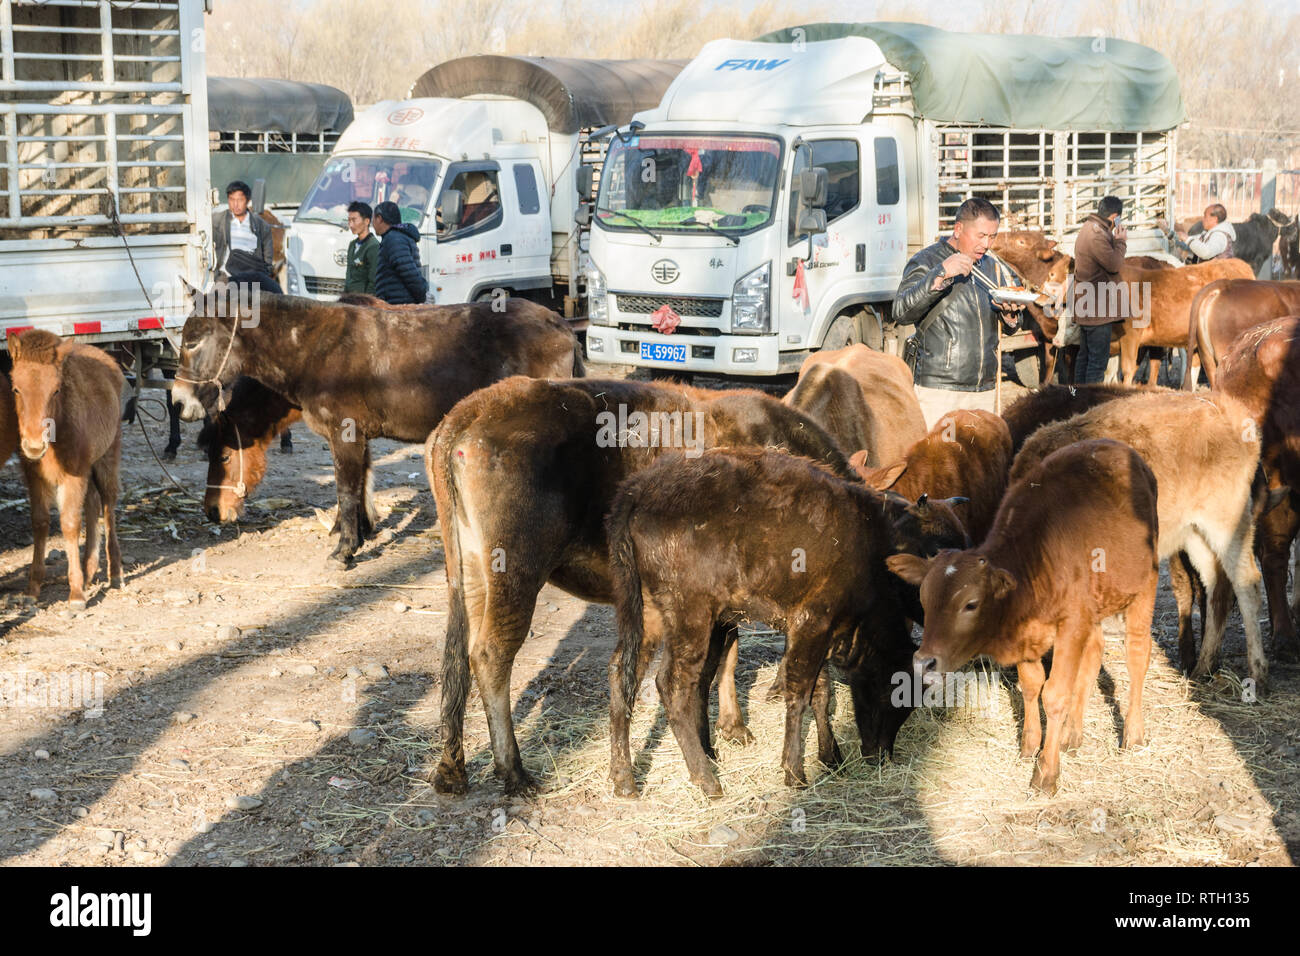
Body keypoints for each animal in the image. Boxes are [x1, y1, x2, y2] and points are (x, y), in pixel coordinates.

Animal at [605, 448, 957, 796]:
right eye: (894, 690)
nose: (880, 754)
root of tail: (638, 489)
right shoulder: (812, 624)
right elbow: (800, 693)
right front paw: (795, 773)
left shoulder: (816, 634)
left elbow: (820, 692)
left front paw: (831, 757)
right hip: (691, 618)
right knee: (672, 685)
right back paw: (708, 781)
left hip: (646, 614)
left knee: (622, 674)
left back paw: (625, 781)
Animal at [891, 439, 1159, 796]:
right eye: (924, 597)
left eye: (970, 604)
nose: (924, 662)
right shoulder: (1034, 633)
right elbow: (1031, 686)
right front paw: (1030, 745)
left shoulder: (1071, 624)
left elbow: (1054, 694)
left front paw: (1046, 773)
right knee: (1094, 653)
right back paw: (1072, 734)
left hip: (1145, 586)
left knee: (1137, 655)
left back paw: (1132, 734)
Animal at [1009, 389, 1269, 685]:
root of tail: (1231, 409)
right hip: (1195, 533)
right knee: (1216, 587)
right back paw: (1203, 668)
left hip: (1227, 524)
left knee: (1247, 583)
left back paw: (1258, 674)